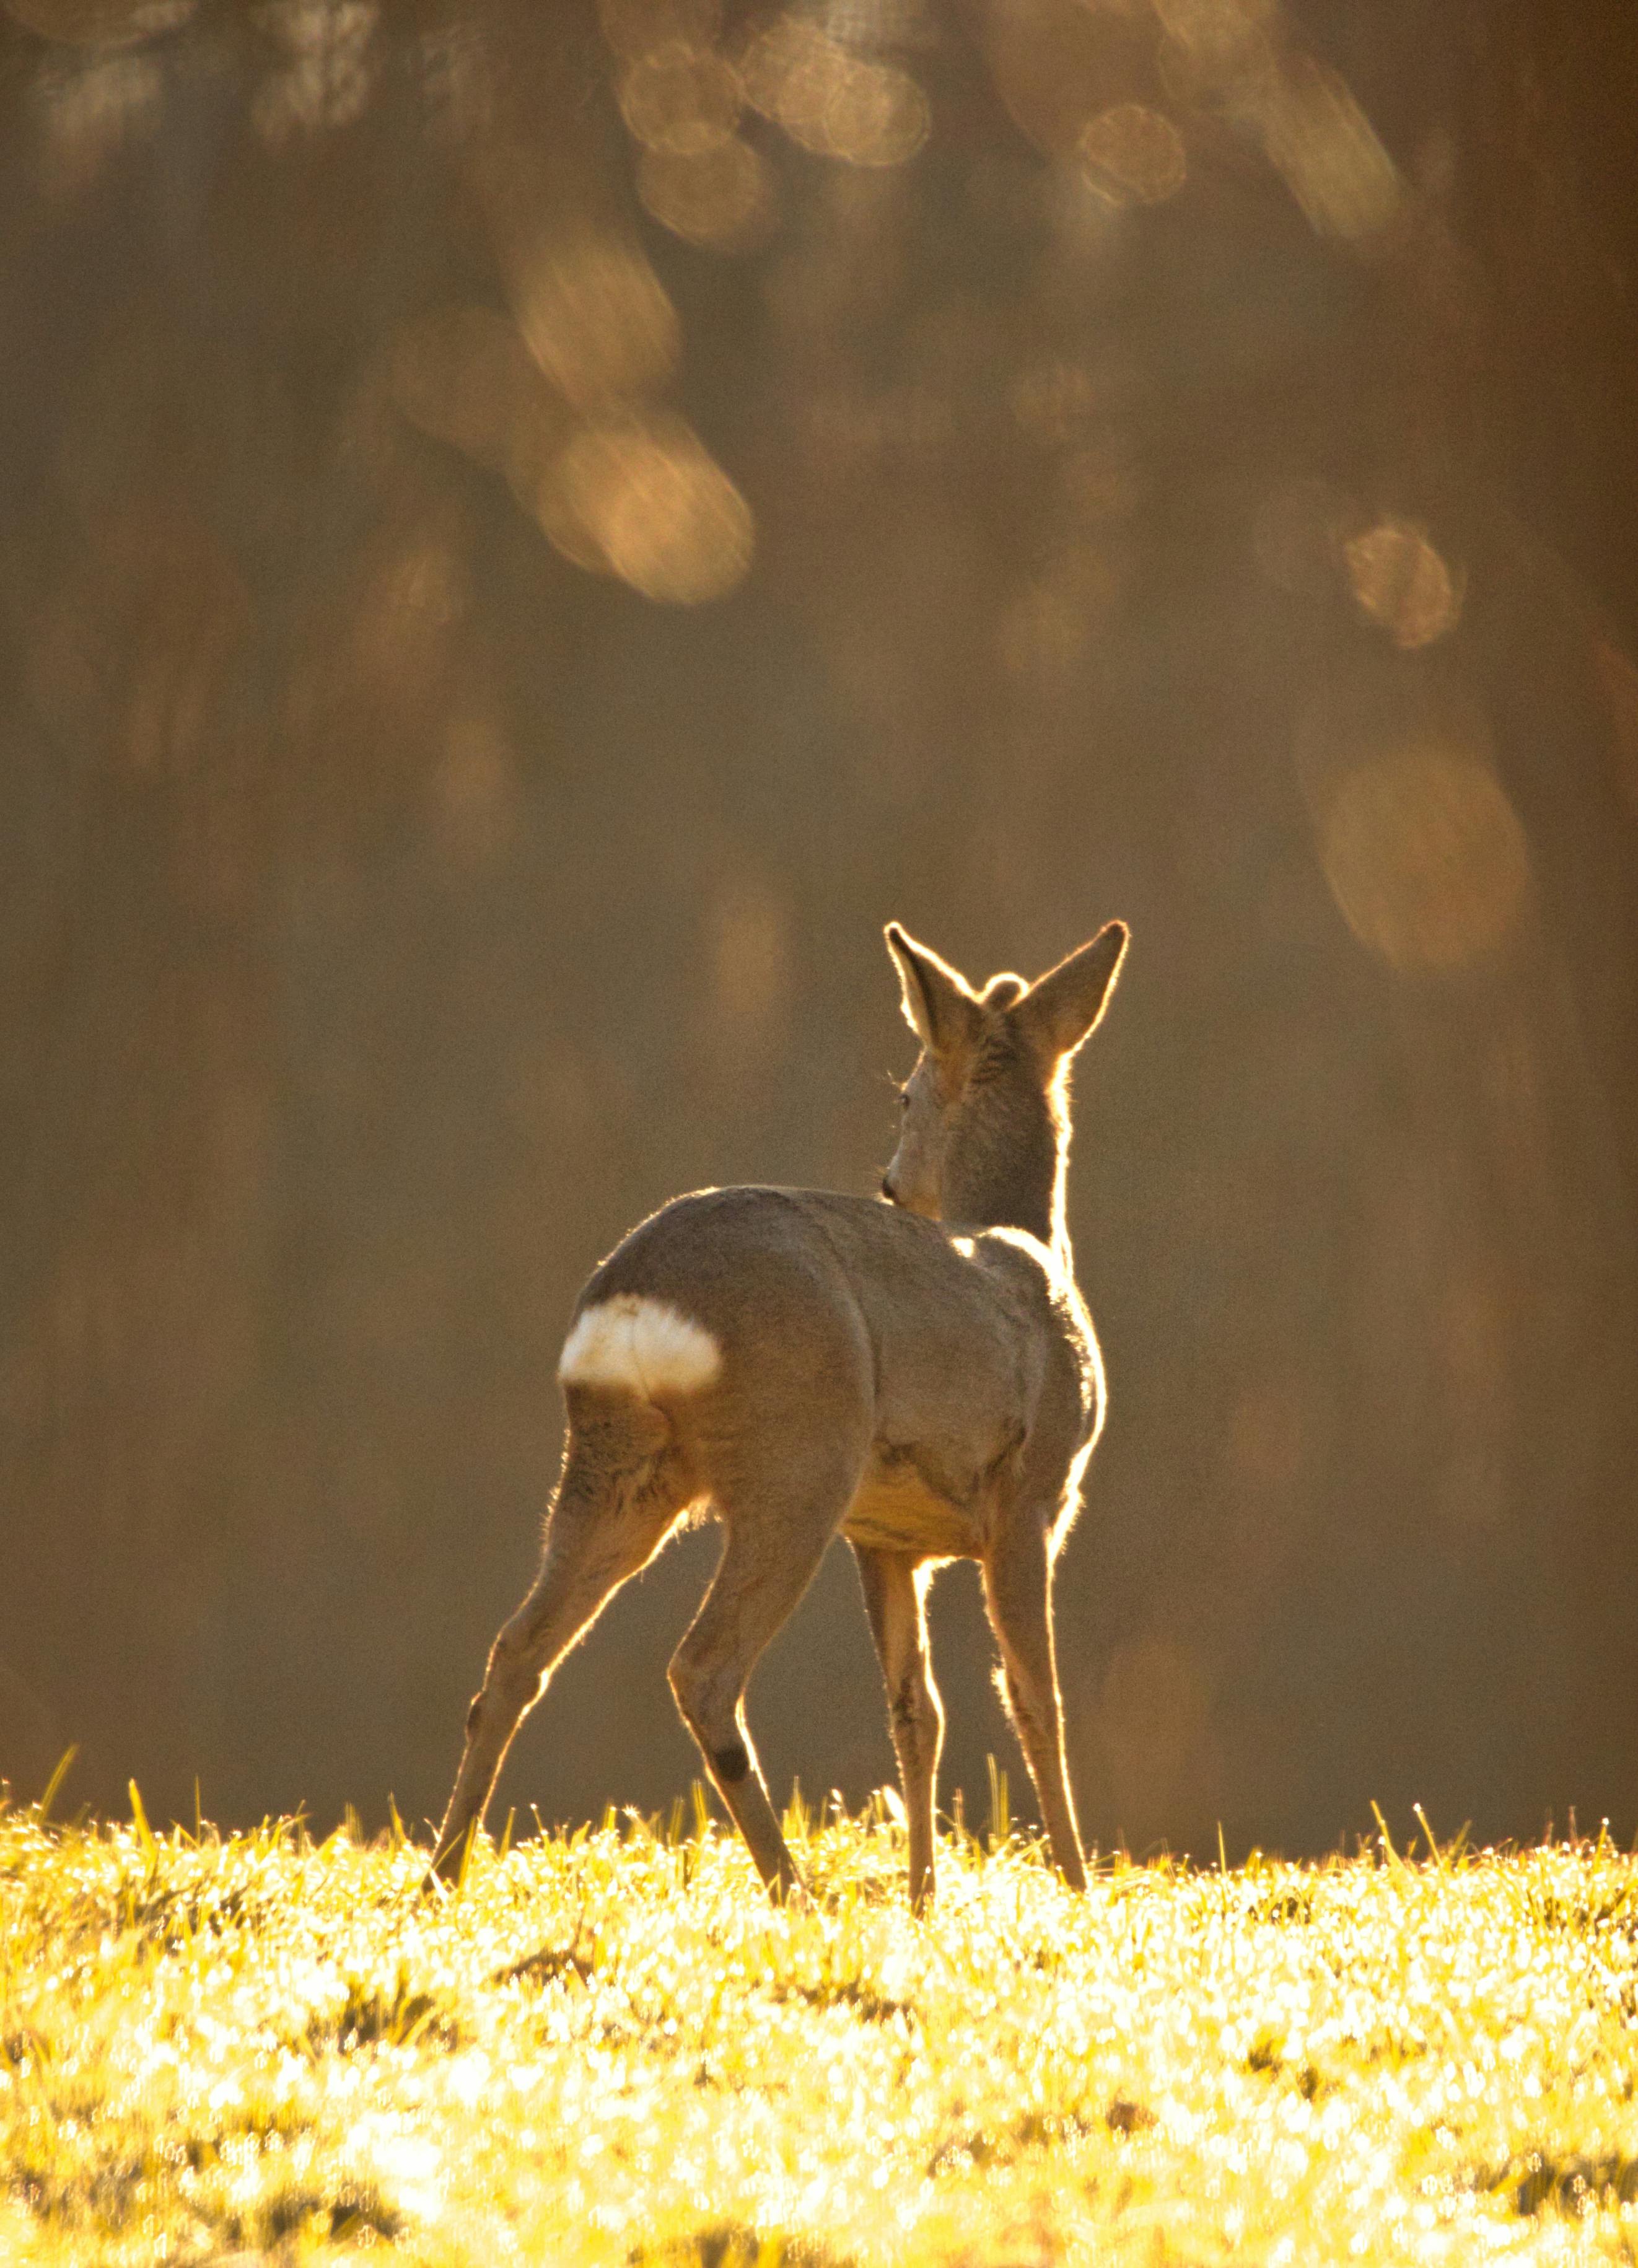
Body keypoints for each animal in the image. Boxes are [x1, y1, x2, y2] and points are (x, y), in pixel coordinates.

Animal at [426, 918, 1128, 1908]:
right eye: (905, 1090)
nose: (890, 1184)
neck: (1028, 1246)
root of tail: (637, 1296)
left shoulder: (886, 1537)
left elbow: (917, 1711)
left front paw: (923, 1898)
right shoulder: (1032, 1493)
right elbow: (1034, 1698)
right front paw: (1075, 1885)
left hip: (615, 1467)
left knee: (515, 1654)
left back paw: (441, 1878)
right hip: (797, 1463)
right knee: (702, 1666)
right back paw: (792, 1887)